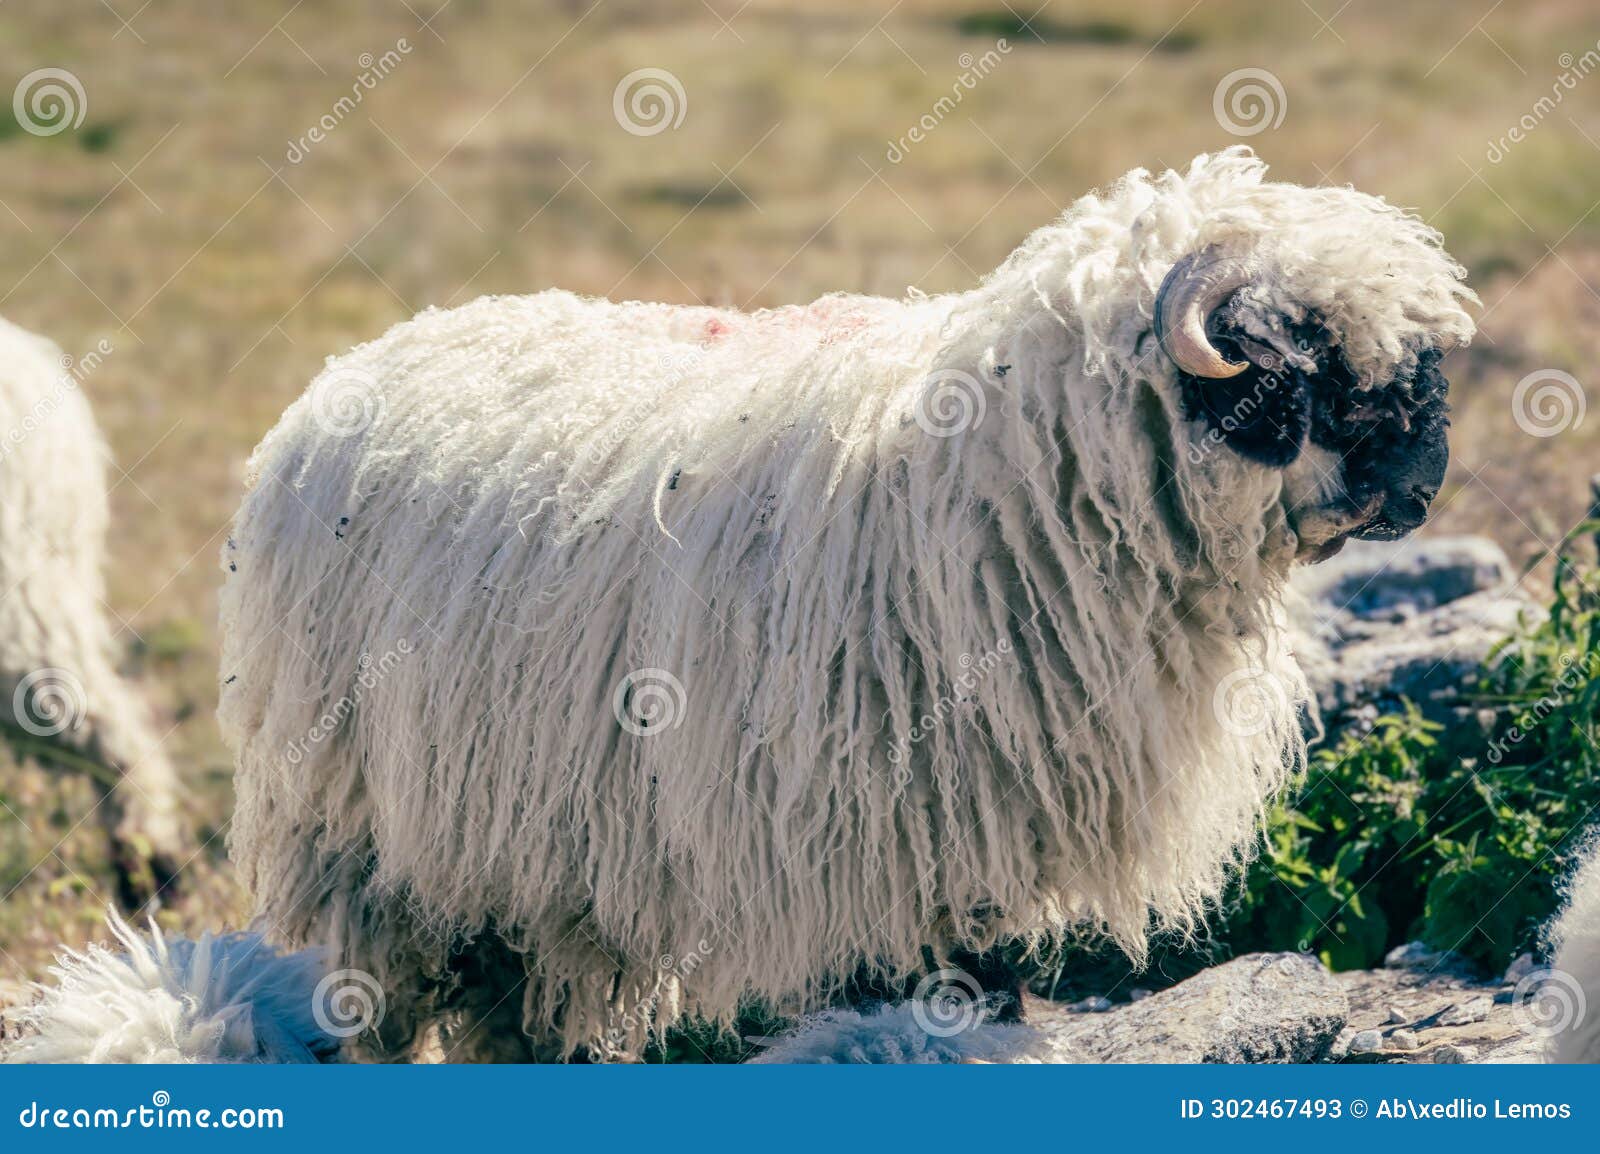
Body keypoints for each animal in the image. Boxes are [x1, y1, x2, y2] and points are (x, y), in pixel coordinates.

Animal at [212, 147, 1475, 1060]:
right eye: (1300, 365)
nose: (1421, 486)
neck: (1017, 475)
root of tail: (355, 365)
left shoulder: (969, 832)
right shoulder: (867, 821)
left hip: (515, 847)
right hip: (365, 836)